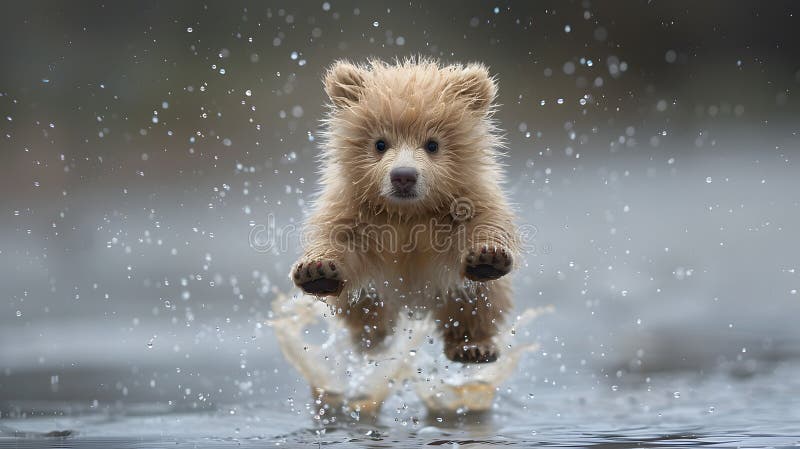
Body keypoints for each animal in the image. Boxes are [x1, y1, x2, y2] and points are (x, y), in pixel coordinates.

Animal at [291, 58, 518, 363]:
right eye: (380, 143)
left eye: (433, 143)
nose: (403, 176)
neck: (408, 213)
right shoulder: (357, 210)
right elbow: (338, 237)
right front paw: (316, 272)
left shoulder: (461, 202)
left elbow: (485, 223)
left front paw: (488, 258)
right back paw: (371, 340)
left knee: (478, 303)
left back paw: (473, 346)